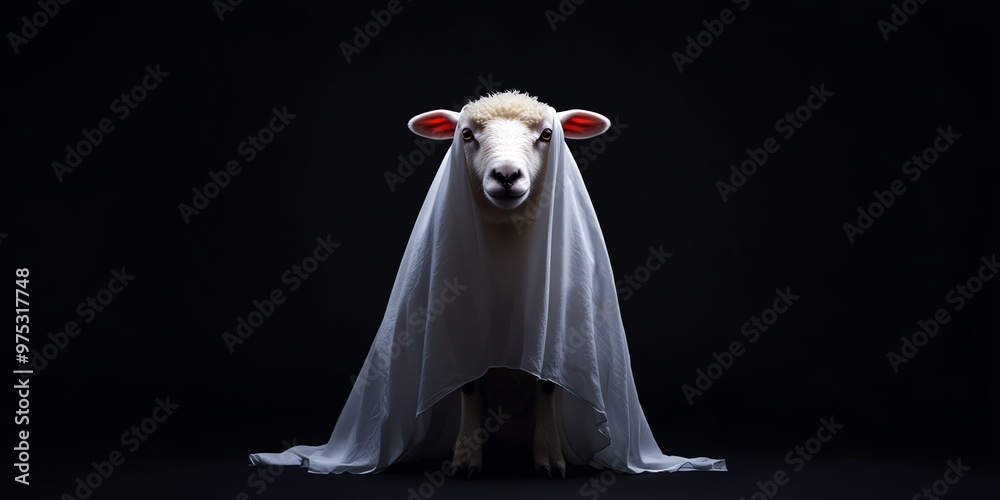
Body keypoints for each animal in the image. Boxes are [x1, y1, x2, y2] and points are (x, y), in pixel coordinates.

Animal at [407, 90, 611, 478]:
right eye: (466, 134)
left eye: (547, 134)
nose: (505, 175)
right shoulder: (461, 324)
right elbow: (468, 384)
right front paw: (465, 456)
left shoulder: (554, 330)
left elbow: (547, 384)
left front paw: (549, 457)